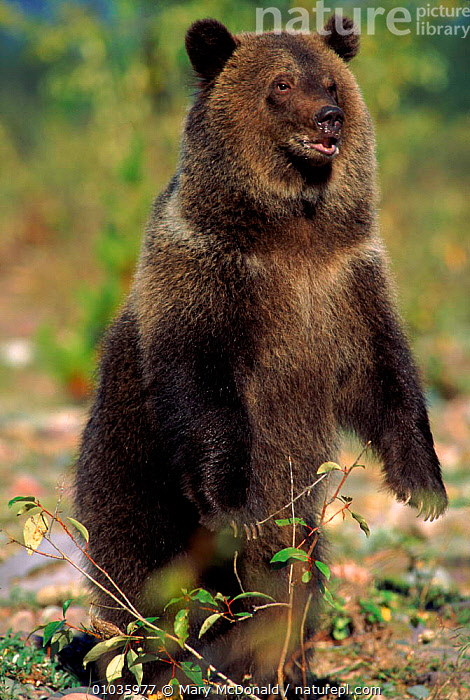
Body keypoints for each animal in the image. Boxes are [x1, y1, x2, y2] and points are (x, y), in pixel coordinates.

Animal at [75, 15, 448, 693]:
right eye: (280, 83)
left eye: (331, 81)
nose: (329, 117)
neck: (291, 231)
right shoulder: (210, 283)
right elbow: (204, 391)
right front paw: (234, 507)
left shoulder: (345, 283)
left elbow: (384, 376)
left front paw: (423, 489)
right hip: (132, 480)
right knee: (153, 578)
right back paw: (169, 658)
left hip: (301, 532)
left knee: (296, 580)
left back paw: (285, 663)